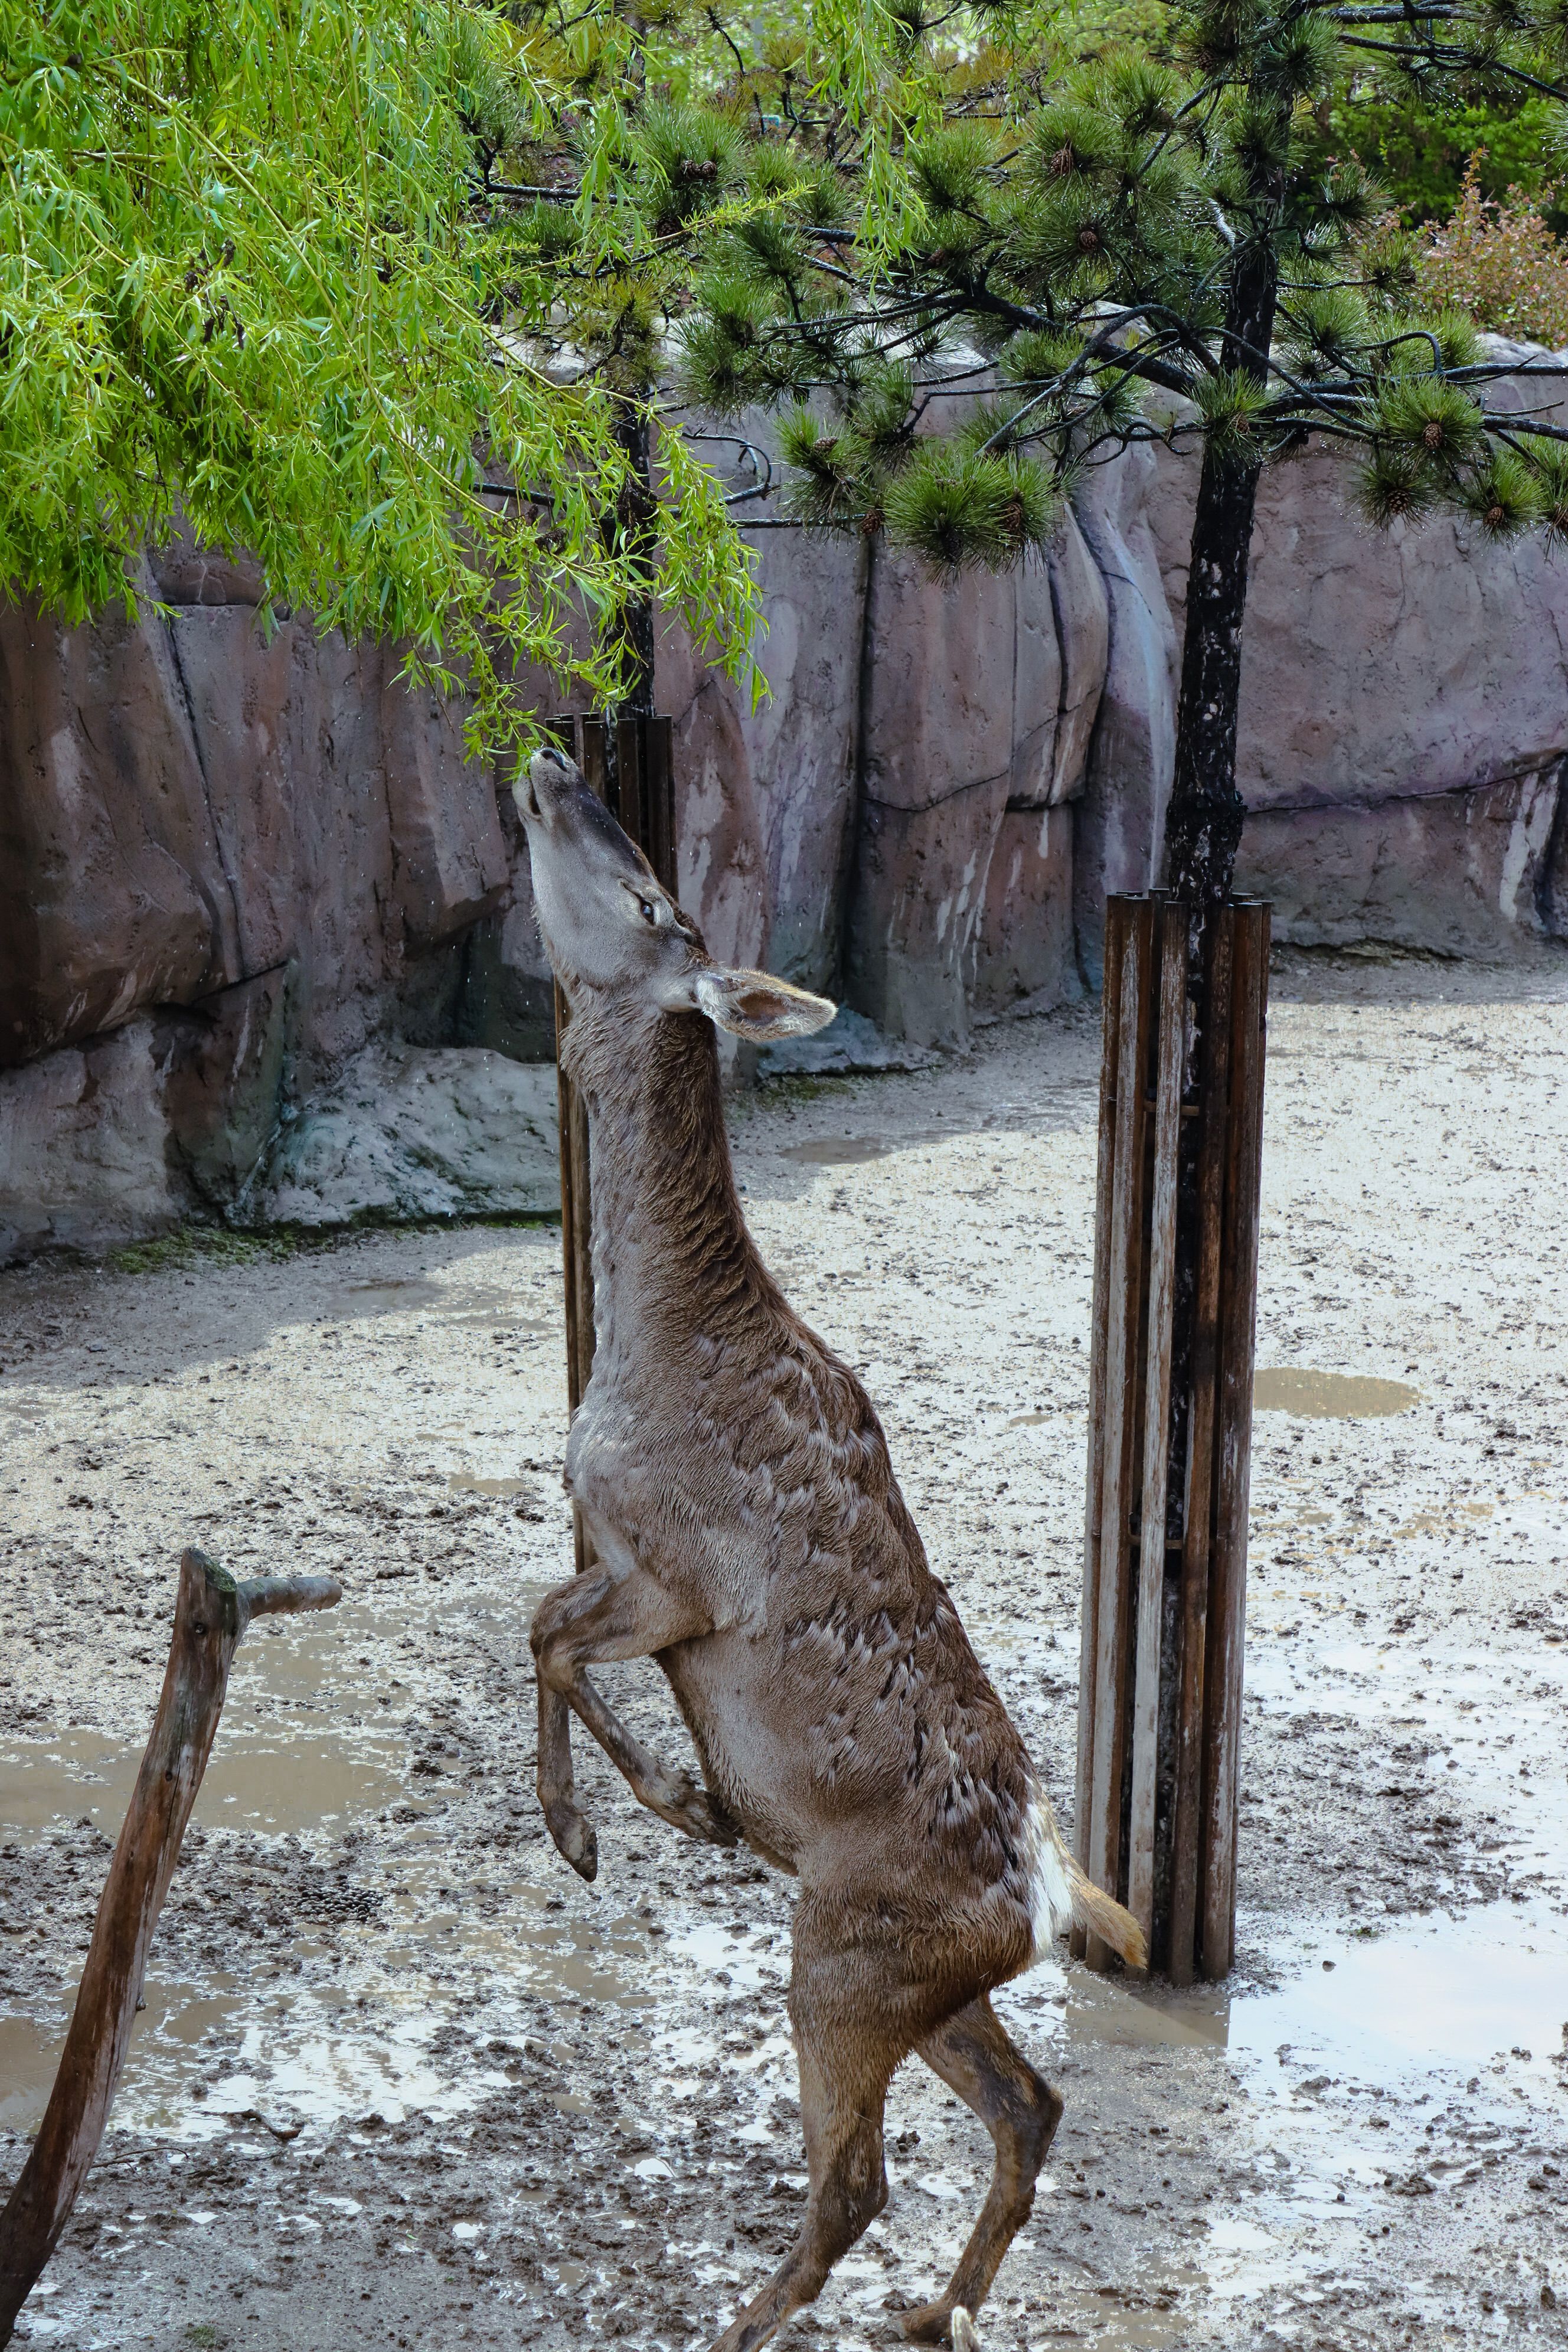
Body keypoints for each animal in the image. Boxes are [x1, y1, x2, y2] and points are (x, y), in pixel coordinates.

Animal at [519, 746, 1144, 2352]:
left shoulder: (675, 1579)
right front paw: (655, 1809)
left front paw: (634, 1822)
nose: (549, 762)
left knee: (857, 2182)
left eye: (654, 900)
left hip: (845, 1965)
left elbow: (543, 1633)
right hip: (921, 1985)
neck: (645, 1349)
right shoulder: (614, 1554)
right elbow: (536, 1616)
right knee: (1030, 2105)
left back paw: (743, 2322)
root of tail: (1048, 1901)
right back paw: (933, 2311)